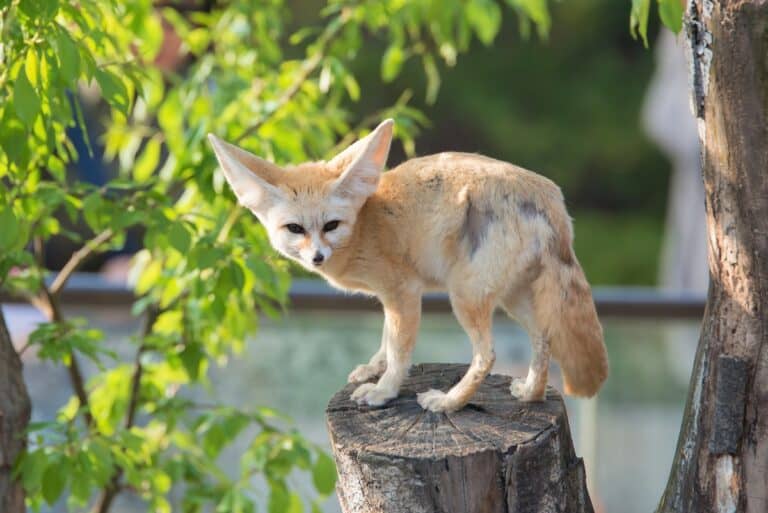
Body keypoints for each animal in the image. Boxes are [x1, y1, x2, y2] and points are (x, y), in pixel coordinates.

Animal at [207, 119, 608, 413]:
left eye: (331, 226)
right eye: (295, 229)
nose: (317, 257)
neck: (366, 223)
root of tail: (549, 196)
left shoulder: (403, 292)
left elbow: (400, 350)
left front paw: (384, 390)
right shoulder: (391, 298)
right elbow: (386, 339)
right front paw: (373, 368)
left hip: (465, 296)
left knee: (487, 355)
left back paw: (449, 402)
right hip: (513, 297)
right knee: (544, 339)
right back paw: (531, 393)